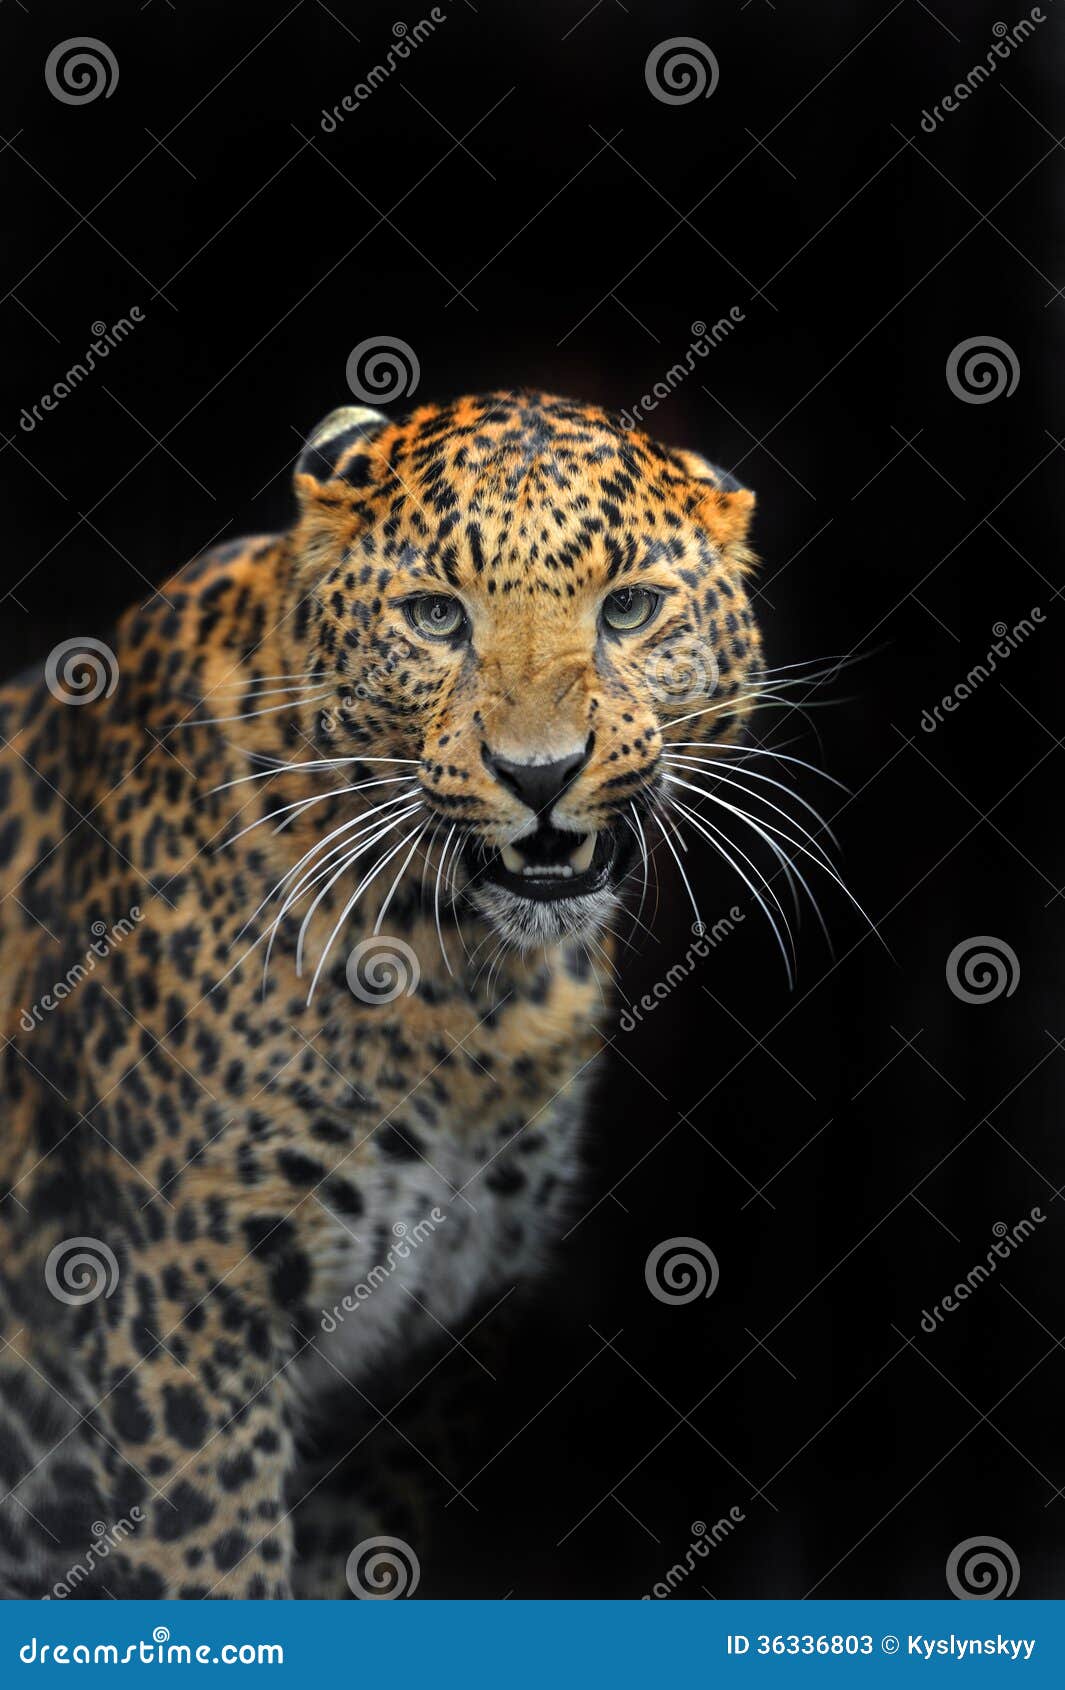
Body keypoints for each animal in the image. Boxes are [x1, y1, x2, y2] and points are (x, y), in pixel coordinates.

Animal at [0, 388, 768, 1599]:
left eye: (630, 608)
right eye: (437, 617)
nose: (540, 774)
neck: (468, 978)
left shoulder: (417, 1357)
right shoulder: (181, 1313)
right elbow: (221, 1569)